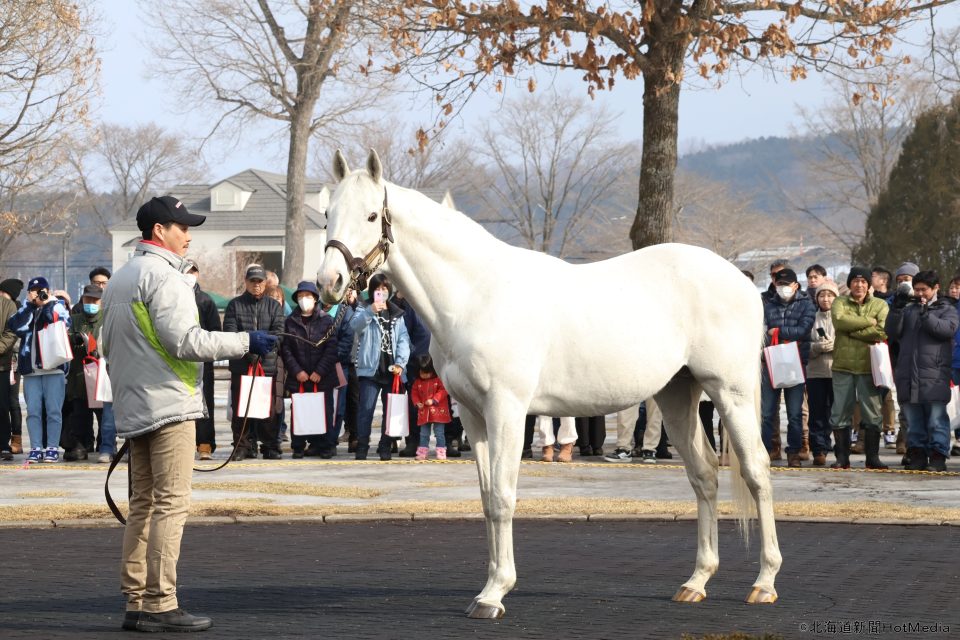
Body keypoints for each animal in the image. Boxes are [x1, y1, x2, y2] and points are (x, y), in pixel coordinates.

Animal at [317, 150, 782, 619]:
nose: (328, 283)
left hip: (730, 393)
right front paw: (487, 586)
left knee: (757, 471)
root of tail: (741, 281)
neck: (475, 295)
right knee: (704, 474)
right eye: (326, 215)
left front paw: (495, 594)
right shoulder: (474, 415)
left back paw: (764, 582)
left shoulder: (506, 409)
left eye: (371, 215)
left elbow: (503, 497)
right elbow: (486, 498)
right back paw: (696, 581)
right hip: (677, 394)